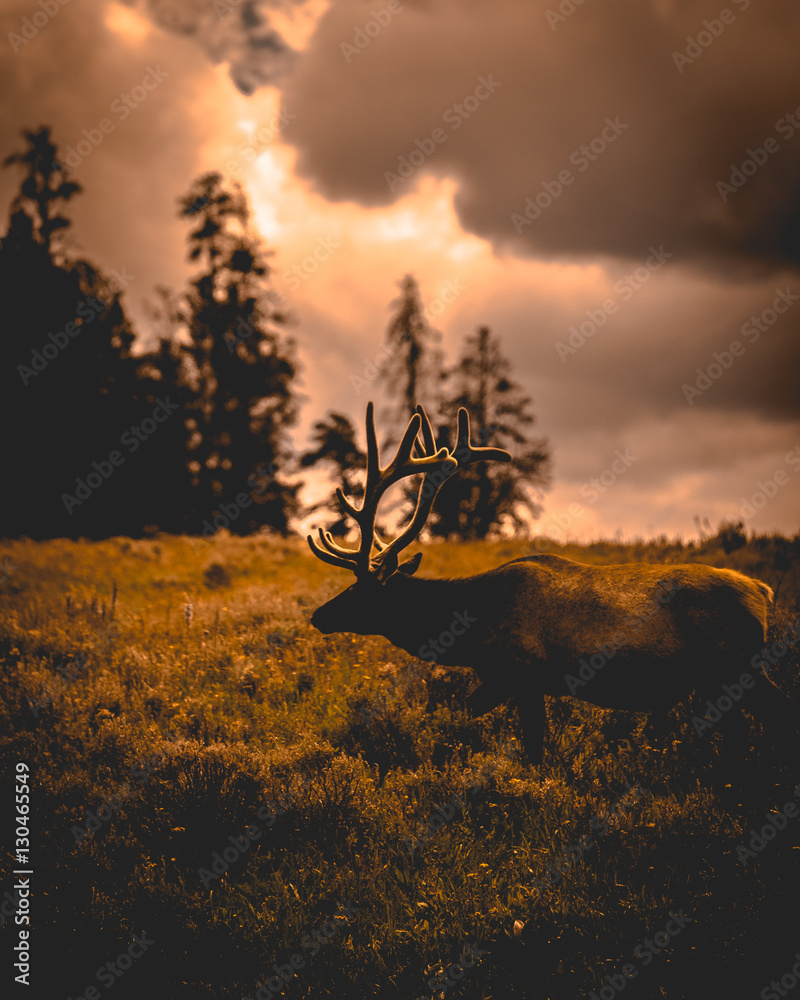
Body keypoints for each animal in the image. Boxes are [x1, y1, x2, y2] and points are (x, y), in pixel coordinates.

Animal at [308, 402, 796, 764]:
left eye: (361, 589)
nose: (317, 615)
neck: (470, 631)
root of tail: (763, 592)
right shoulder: (507, 680)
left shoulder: (523, 673)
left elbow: (533, 750)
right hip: (725, 677)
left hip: (735, 667)